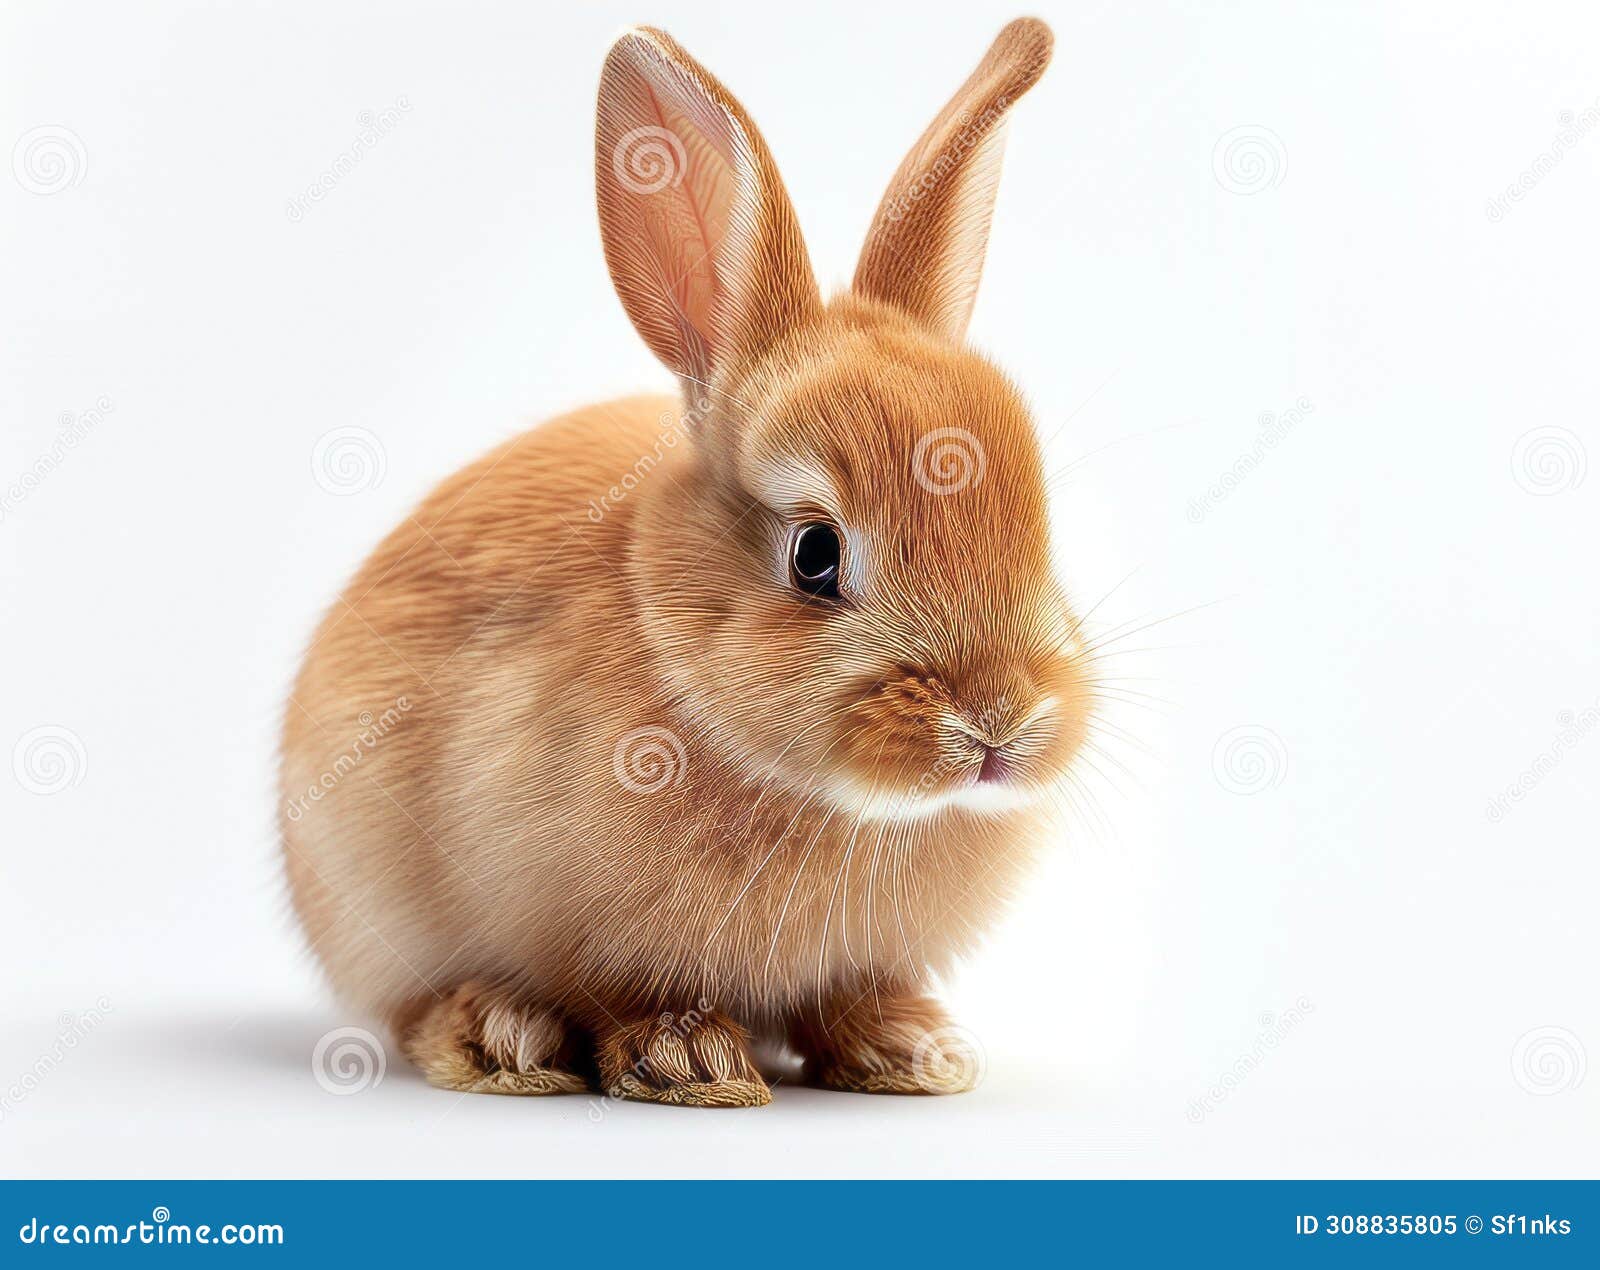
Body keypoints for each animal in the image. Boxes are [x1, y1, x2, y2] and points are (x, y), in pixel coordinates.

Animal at [281, 16, 1097, 1107]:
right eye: (814, 555)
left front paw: (910, 1050)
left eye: (1042, 531)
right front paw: (688, 1059)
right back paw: (498, 1038)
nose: (999, 722)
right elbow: (612, 993)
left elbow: (846, 999)